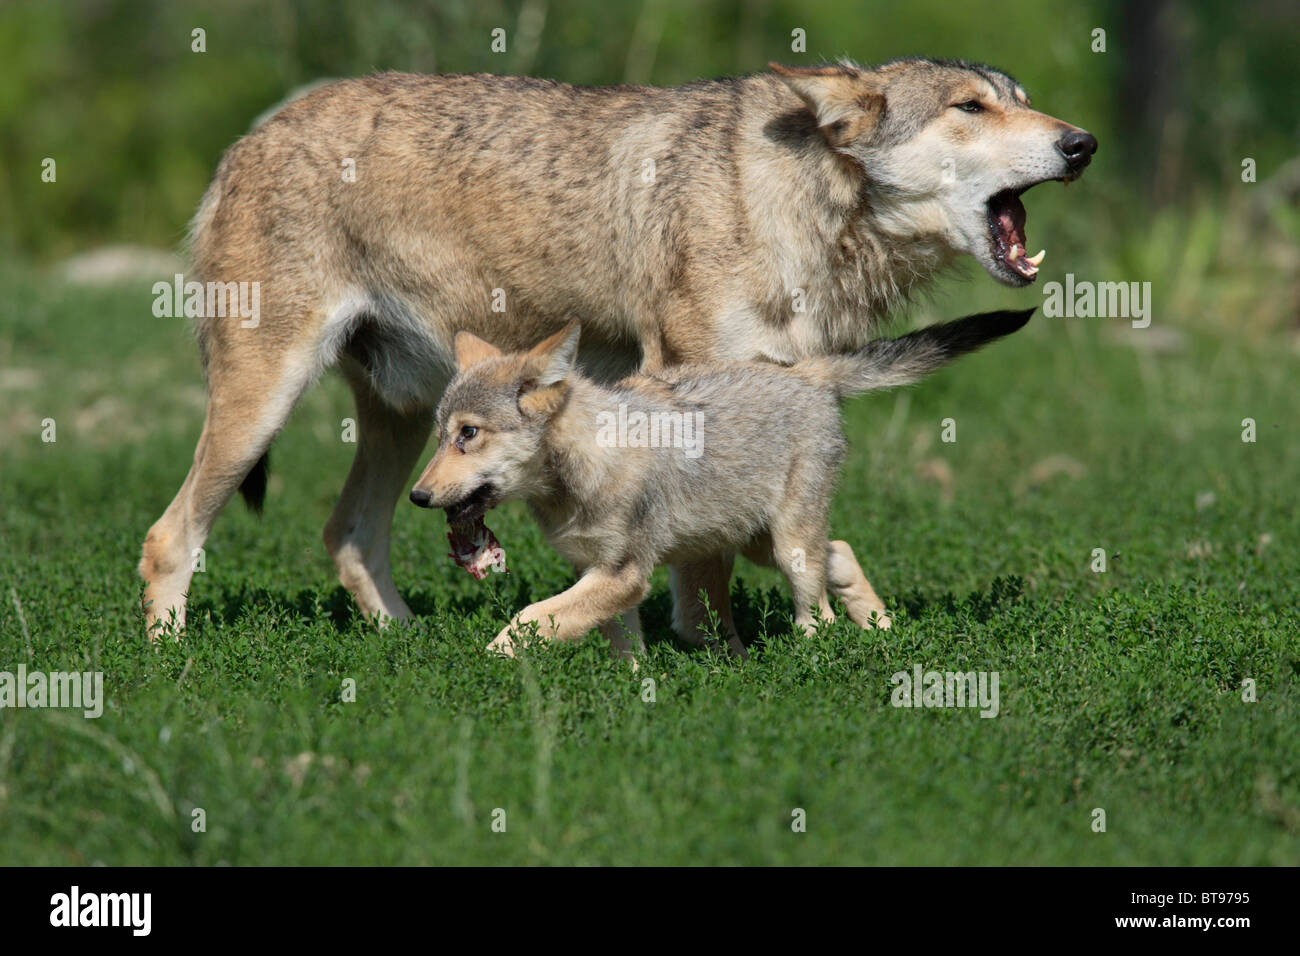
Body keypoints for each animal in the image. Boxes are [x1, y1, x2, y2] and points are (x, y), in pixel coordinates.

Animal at [408, 308, 1035, 658]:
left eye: (468, 434)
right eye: (438, 436)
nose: (417, 497)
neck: (581, 473)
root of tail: (807, 372)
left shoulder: (625, 576)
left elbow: (529, 617)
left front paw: (493, 658)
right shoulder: (600, 577)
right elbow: (621, 649)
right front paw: (636, 695)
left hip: (787, 549)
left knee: (818, 611)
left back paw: (816, 660)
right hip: (759, 543)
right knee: (843, 552)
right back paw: (885, 633)